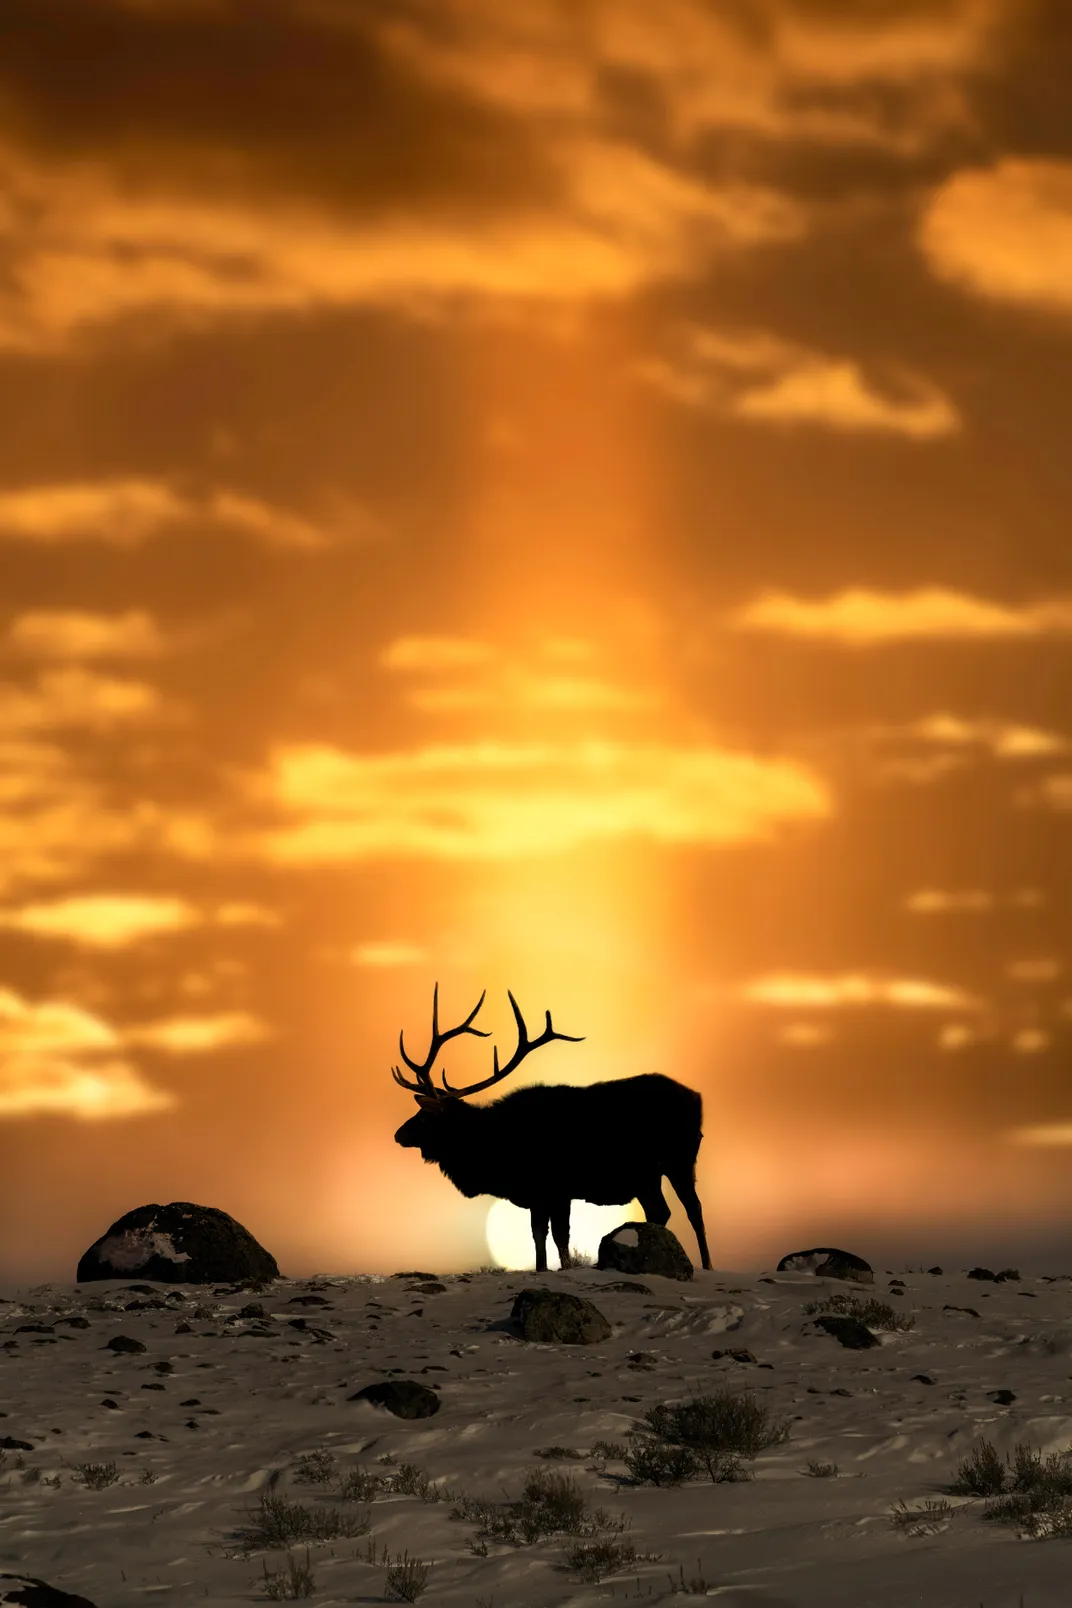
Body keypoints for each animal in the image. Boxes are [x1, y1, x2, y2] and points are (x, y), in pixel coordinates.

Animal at [392, 984, 711, 1273]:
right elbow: (540, 1235)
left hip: (680, 1159)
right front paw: (544, 1268)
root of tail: (698, 1097)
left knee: (693, 1209)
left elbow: (557, 1235)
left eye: (424, 1117)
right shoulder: (540, 1193)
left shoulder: (556, 1187)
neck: (496, 1153)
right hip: (647, 1176)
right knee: (660, 1210)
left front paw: (555, 1268)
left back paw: (707, 1265)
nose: (398, 1134)